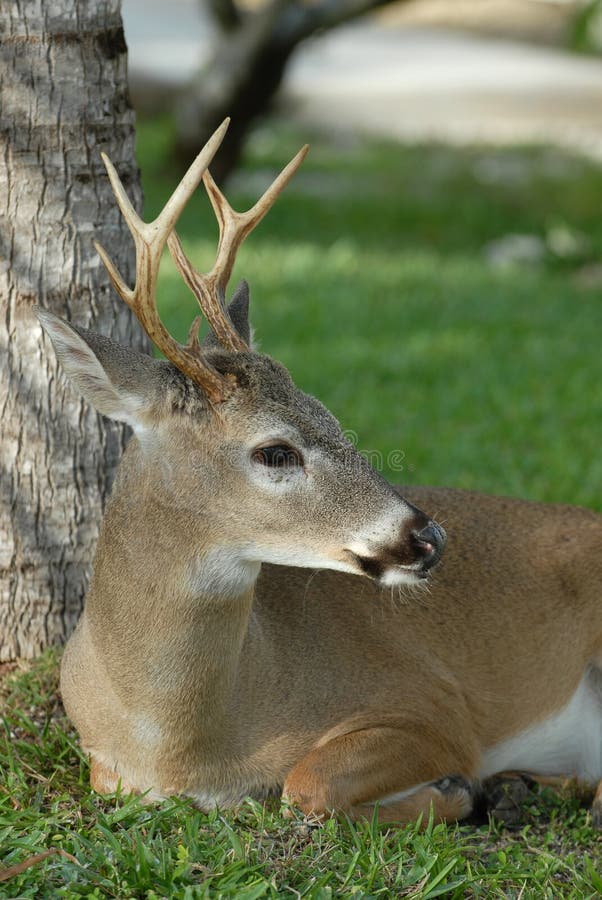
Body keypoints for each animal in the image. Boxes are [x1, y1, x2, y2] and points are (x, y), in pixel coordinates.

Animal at [36, 119, 600, 828]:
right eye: (276, 452)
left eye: (329, 413)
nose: (430, 539)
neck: (177, 743)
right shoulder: (106, 770)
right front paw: (475, 791)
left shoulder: (434, 707)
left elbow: (304, 785)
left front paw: (456, 790)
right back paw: (519, 787)